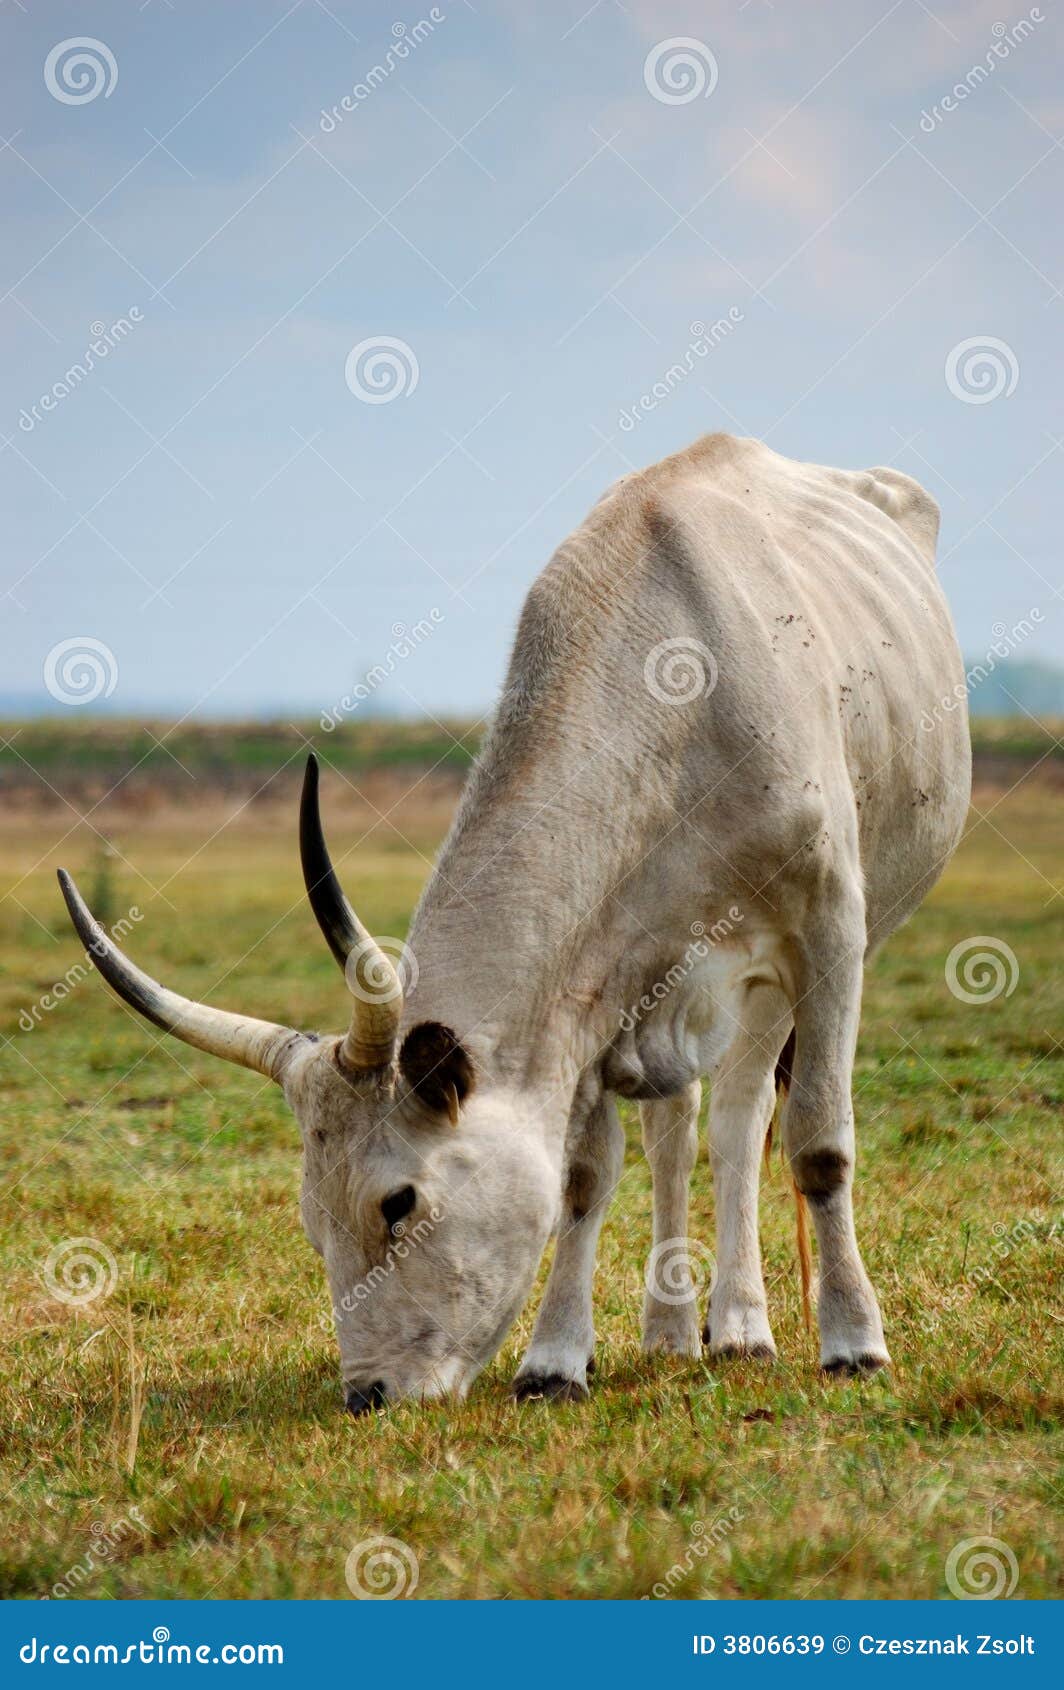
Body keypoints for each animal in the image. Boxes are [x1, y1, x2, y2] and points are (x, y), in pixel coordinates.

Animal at [59, 433, 970, 1413]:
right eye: (312, 1222)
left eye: (399, 1201)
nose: (368, 1393)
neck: (678, 695)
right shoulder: (593, 987)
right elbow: (582, 1176)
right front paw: (556, 1357)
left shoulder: (829, 935)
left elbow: (819, 1142)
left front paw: (853, 1341)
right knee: (681, 1134)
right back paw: (672, 1329)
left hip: (773, 983)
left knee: (739, 1122)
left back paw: (741, 1329)